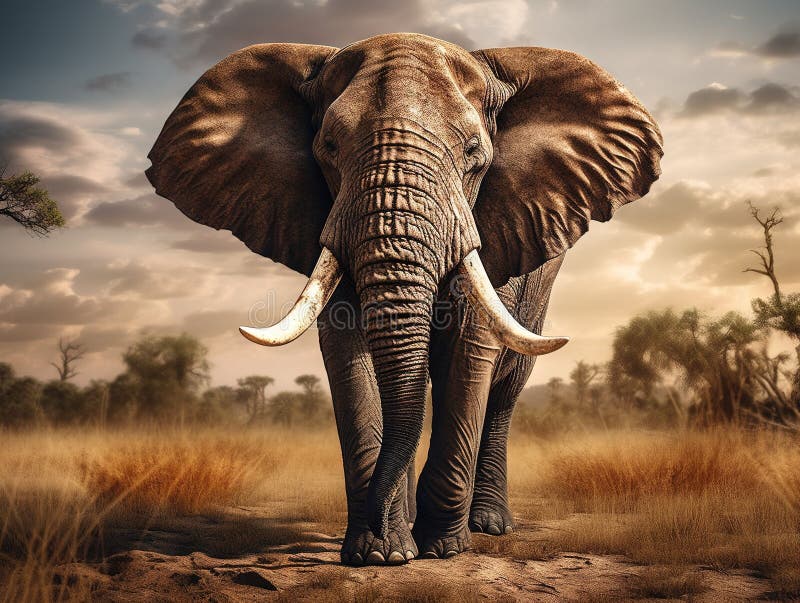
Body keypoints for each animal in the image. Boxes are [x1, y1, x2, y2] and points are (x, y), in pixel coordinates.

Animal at [146, 33, 662, 566]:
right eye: (328, 147)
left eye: (474, 152)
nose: (383, 529)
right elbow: (349, 354)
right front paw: (381, 553)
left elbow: (468, 350)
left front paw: (443, 549)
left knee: (507, 388)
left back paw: (488, 525)